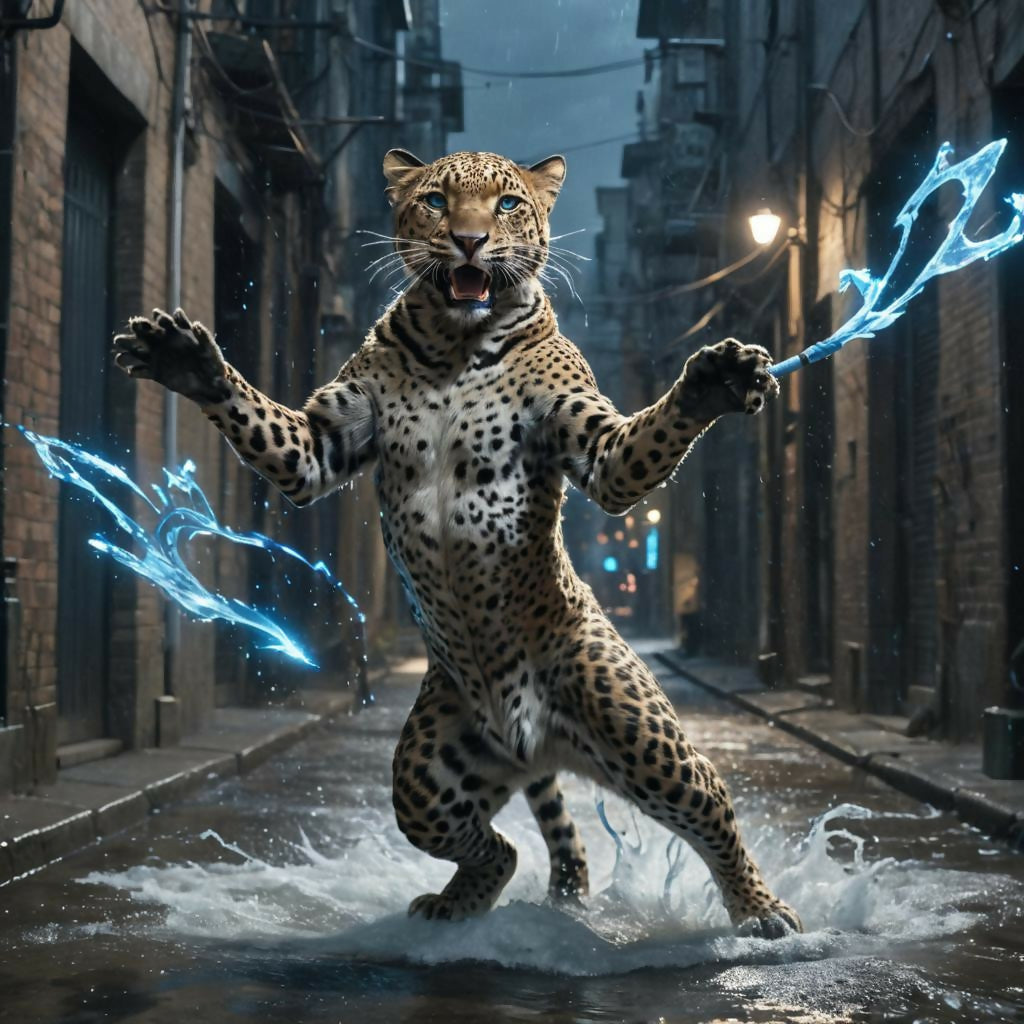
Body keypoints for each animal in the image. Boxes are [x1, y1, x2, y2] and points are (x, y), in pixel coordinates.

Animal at [113, 148, 802, 938]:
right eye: (437, 201)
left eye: (507, 205)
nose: (470, 242)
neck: (455, 342)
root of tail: (536, 745)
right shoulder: (323, 441)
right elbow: (271, 427)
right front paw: (184, 361)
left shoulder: (593, 442)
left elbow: (637, 446)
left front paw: (714, 382)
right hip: (433, 768)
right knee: (491, 844)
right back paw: (456, 903)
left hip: (631, 726)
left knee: (710, 802)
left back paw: (762, 911)